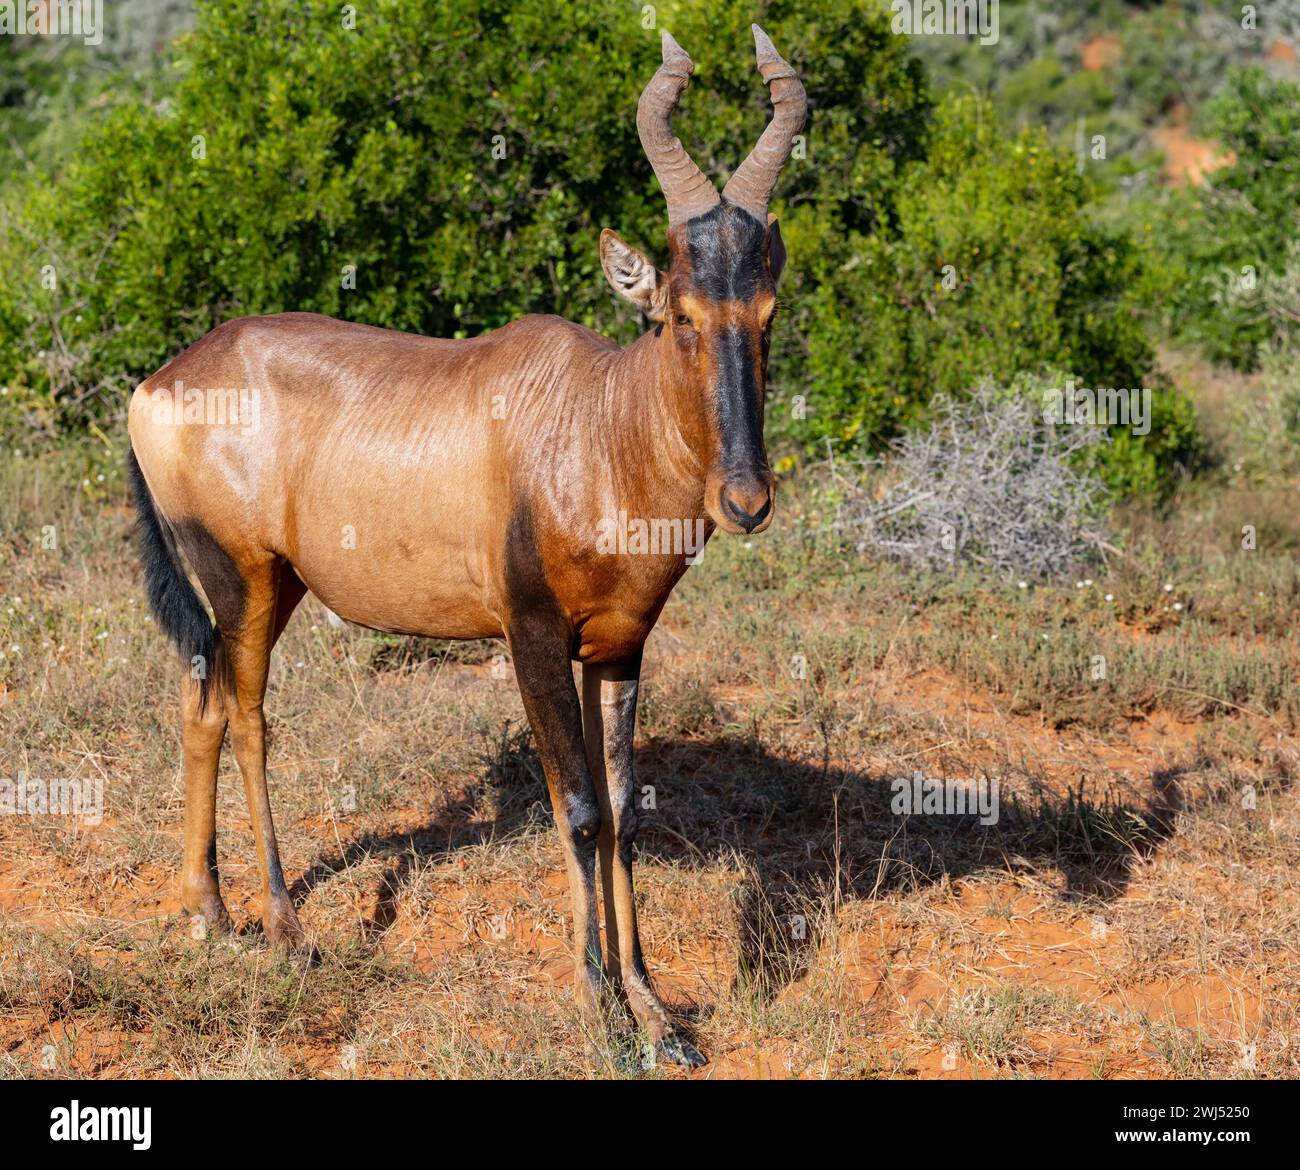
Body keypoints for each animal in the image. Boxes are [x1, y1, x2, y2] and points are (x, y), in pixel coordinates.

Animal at [127, 26, 805, 1067]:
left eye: (766, 314)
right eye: (679, 315)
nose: (747, 499)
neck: (592, 418)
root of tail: (162, 380)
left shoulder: (619, 647)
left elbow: (623, 813)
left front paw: (657, 1016)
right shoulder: (530, 635)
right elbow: (577, 812)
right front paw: (603, 1014)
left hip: (275, 588)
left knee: (202, 702)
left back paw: (210, 913)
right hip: (238, 577)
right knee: (246, 715)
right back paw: (285, 928)